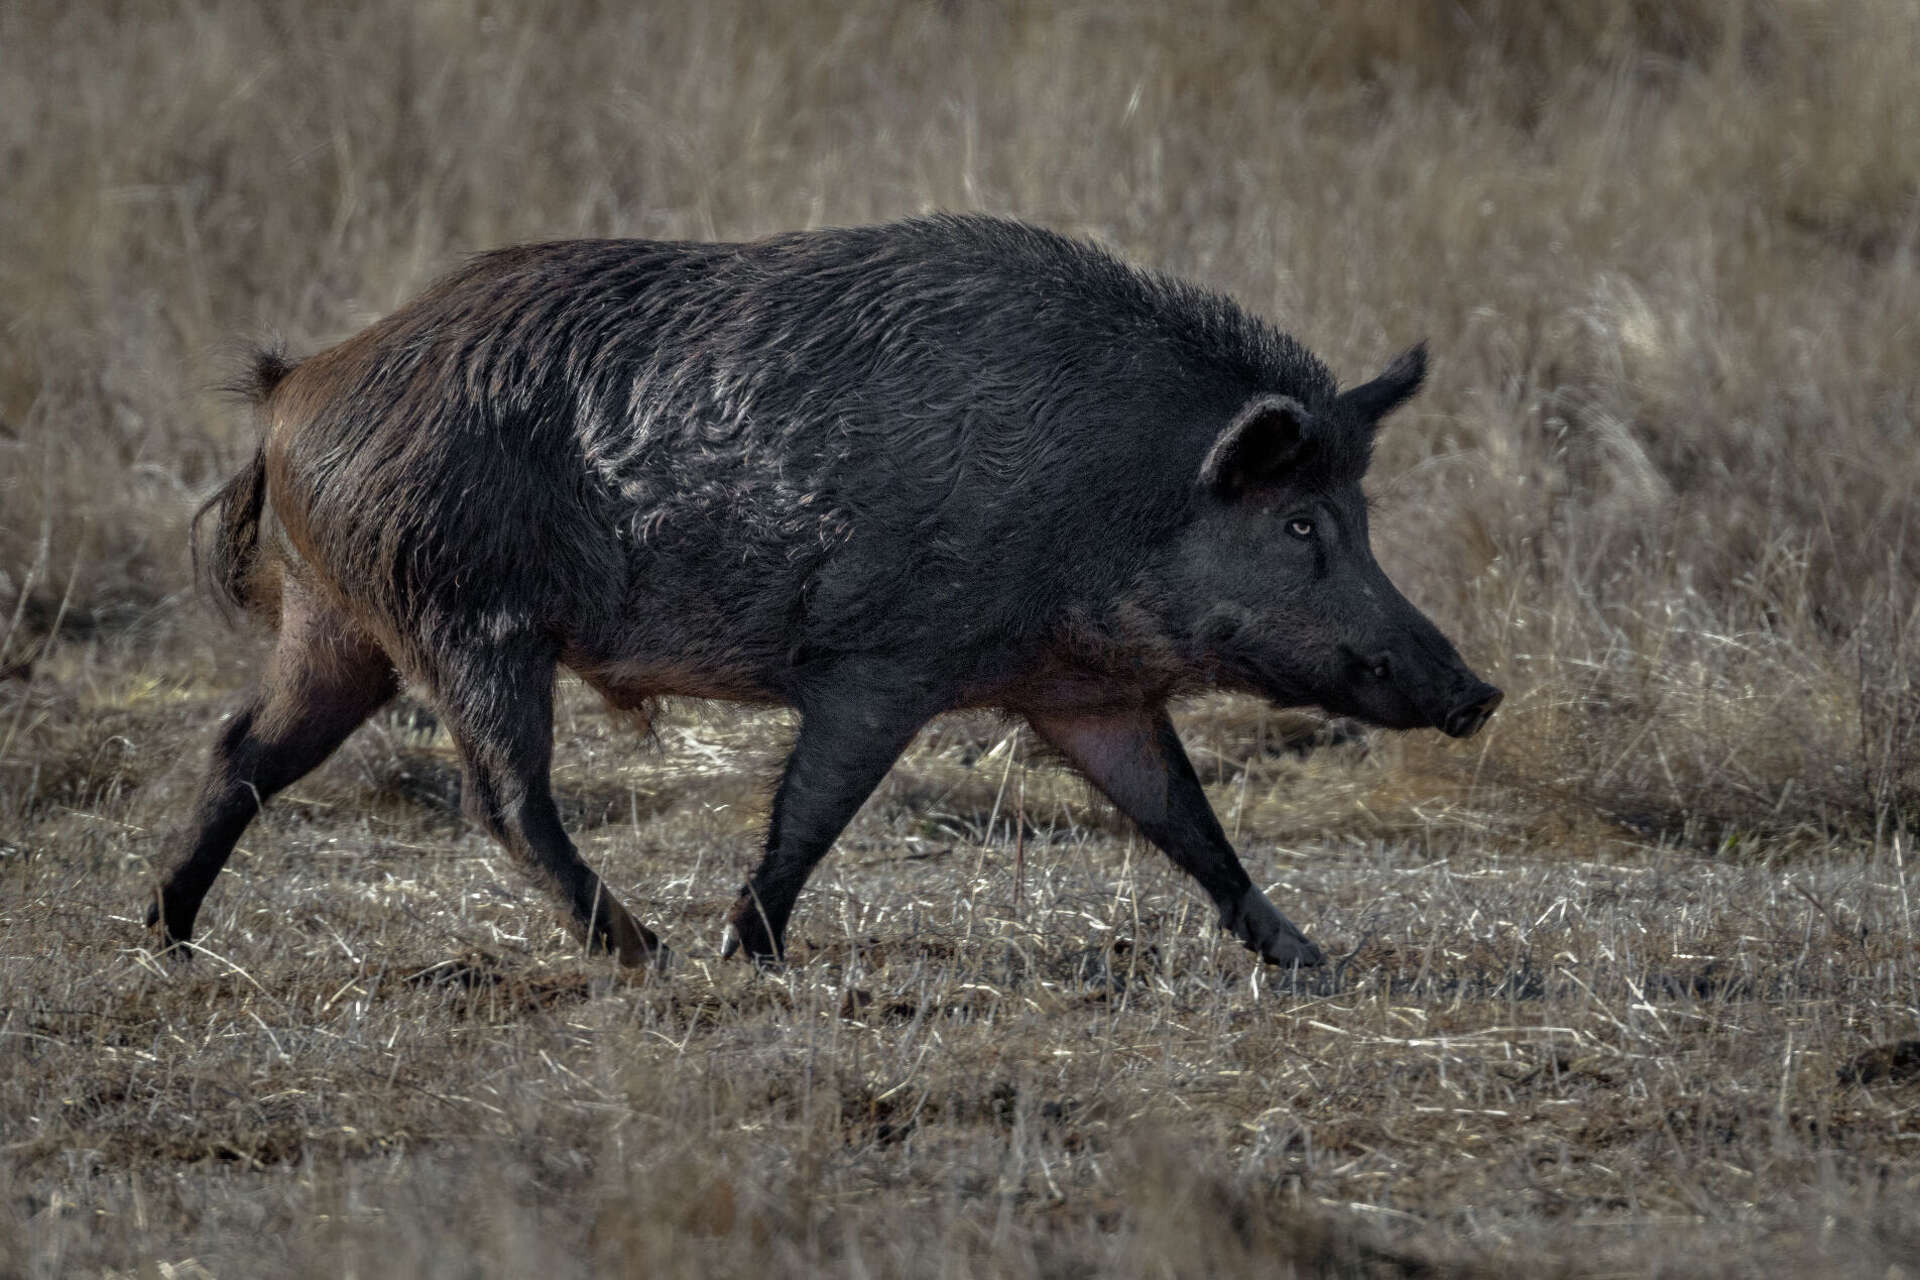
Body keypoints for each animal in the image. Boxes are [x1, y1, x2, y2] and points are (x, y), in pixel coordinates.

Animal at [149, 214, 1501, 972]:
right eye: (1302, 521)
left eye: (1361, 514)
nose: (1480, 690)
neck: (1107, 493)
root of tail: (295, 388)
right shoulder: (881, 666)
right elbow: (810, 813)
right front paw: (750, 955)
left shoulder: (1086, 694)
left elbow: (1190, 825)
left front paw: (1314, 958)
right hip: (467, 621)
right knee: (502, 797)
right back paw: (646, 954)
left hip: (341, 621)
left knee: (242, 750)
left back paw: (164, 936)